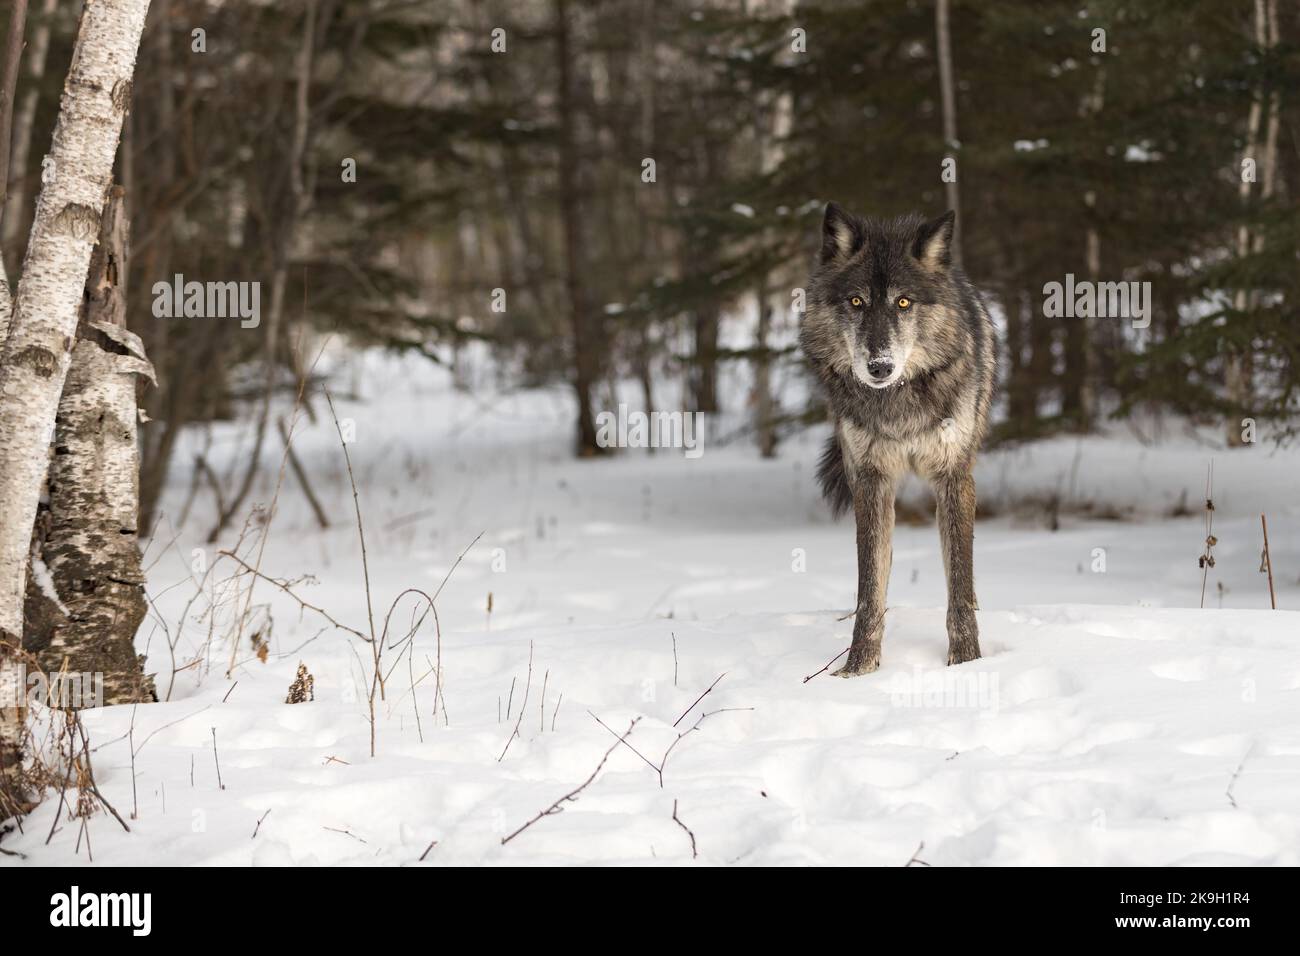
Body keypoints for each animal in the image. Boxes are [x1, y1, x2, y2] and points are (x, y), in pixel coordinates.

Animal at [800, 203, 995, 675]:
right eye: (856, 301)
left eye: (904, 302)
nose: (880, 367)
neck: (898, 402)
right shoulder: (871, 480)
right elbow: (871, 587)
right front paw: (859, 669)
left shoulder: (953, 475)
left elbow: (958, 580)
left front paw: (967, 662)